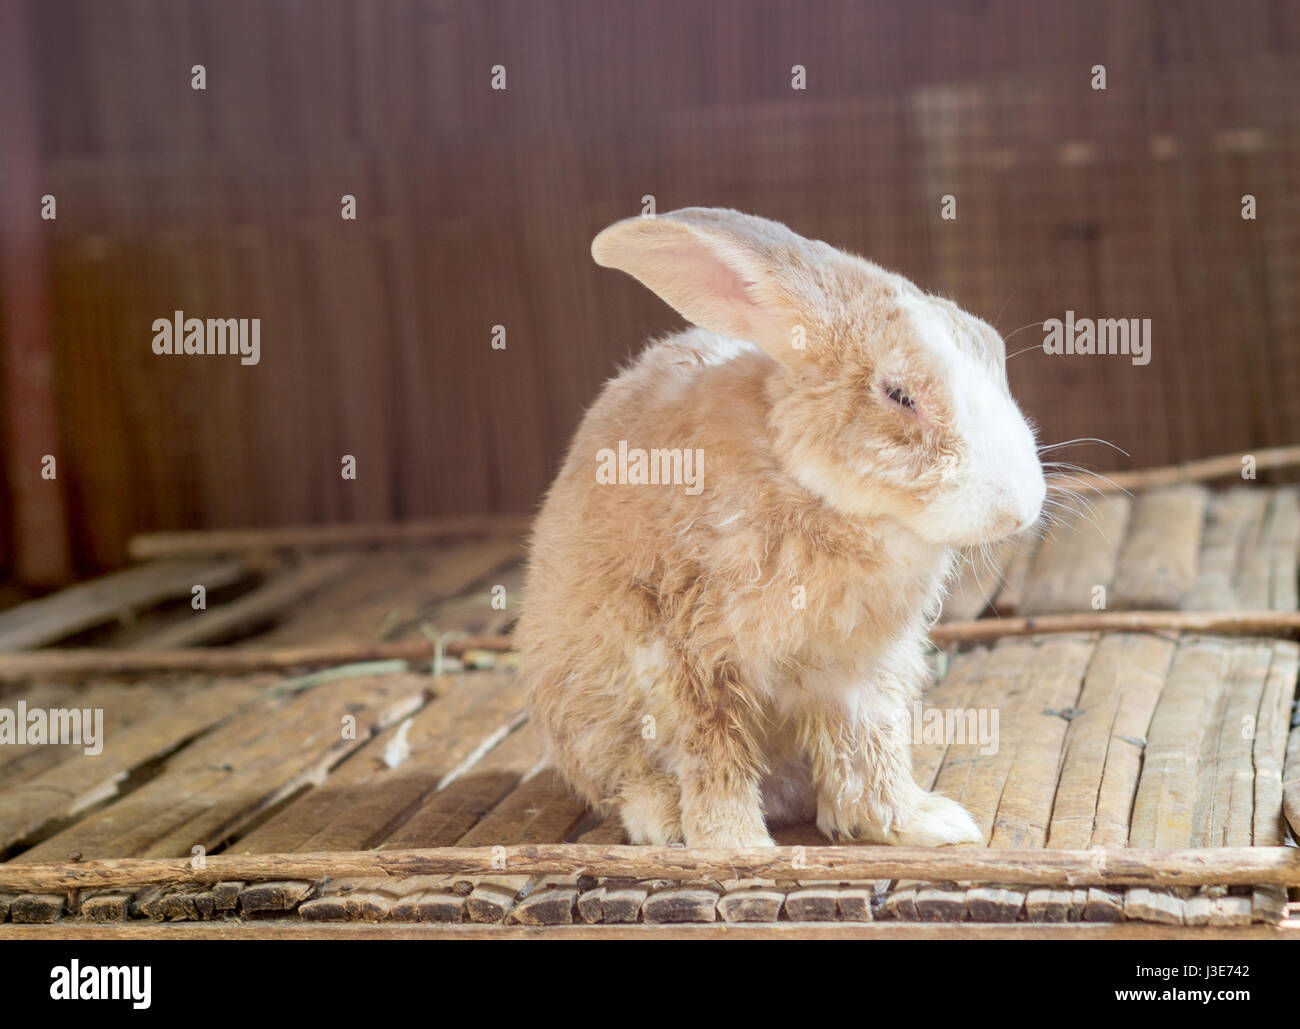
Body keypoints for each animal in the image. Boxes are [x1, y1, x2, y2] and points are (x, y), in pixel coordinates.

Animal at [515, 207, 1045, 848]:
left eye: (994, 349)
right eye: (899, 395)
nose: (1020, 507)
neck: (809, 489)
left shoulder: (859, 669)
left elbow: (870, 744)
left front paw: (922, 824)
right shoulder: (688, 653)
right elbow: (712, 750)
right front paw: (733, 845)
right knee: (627, 779)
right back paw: (662, 816)